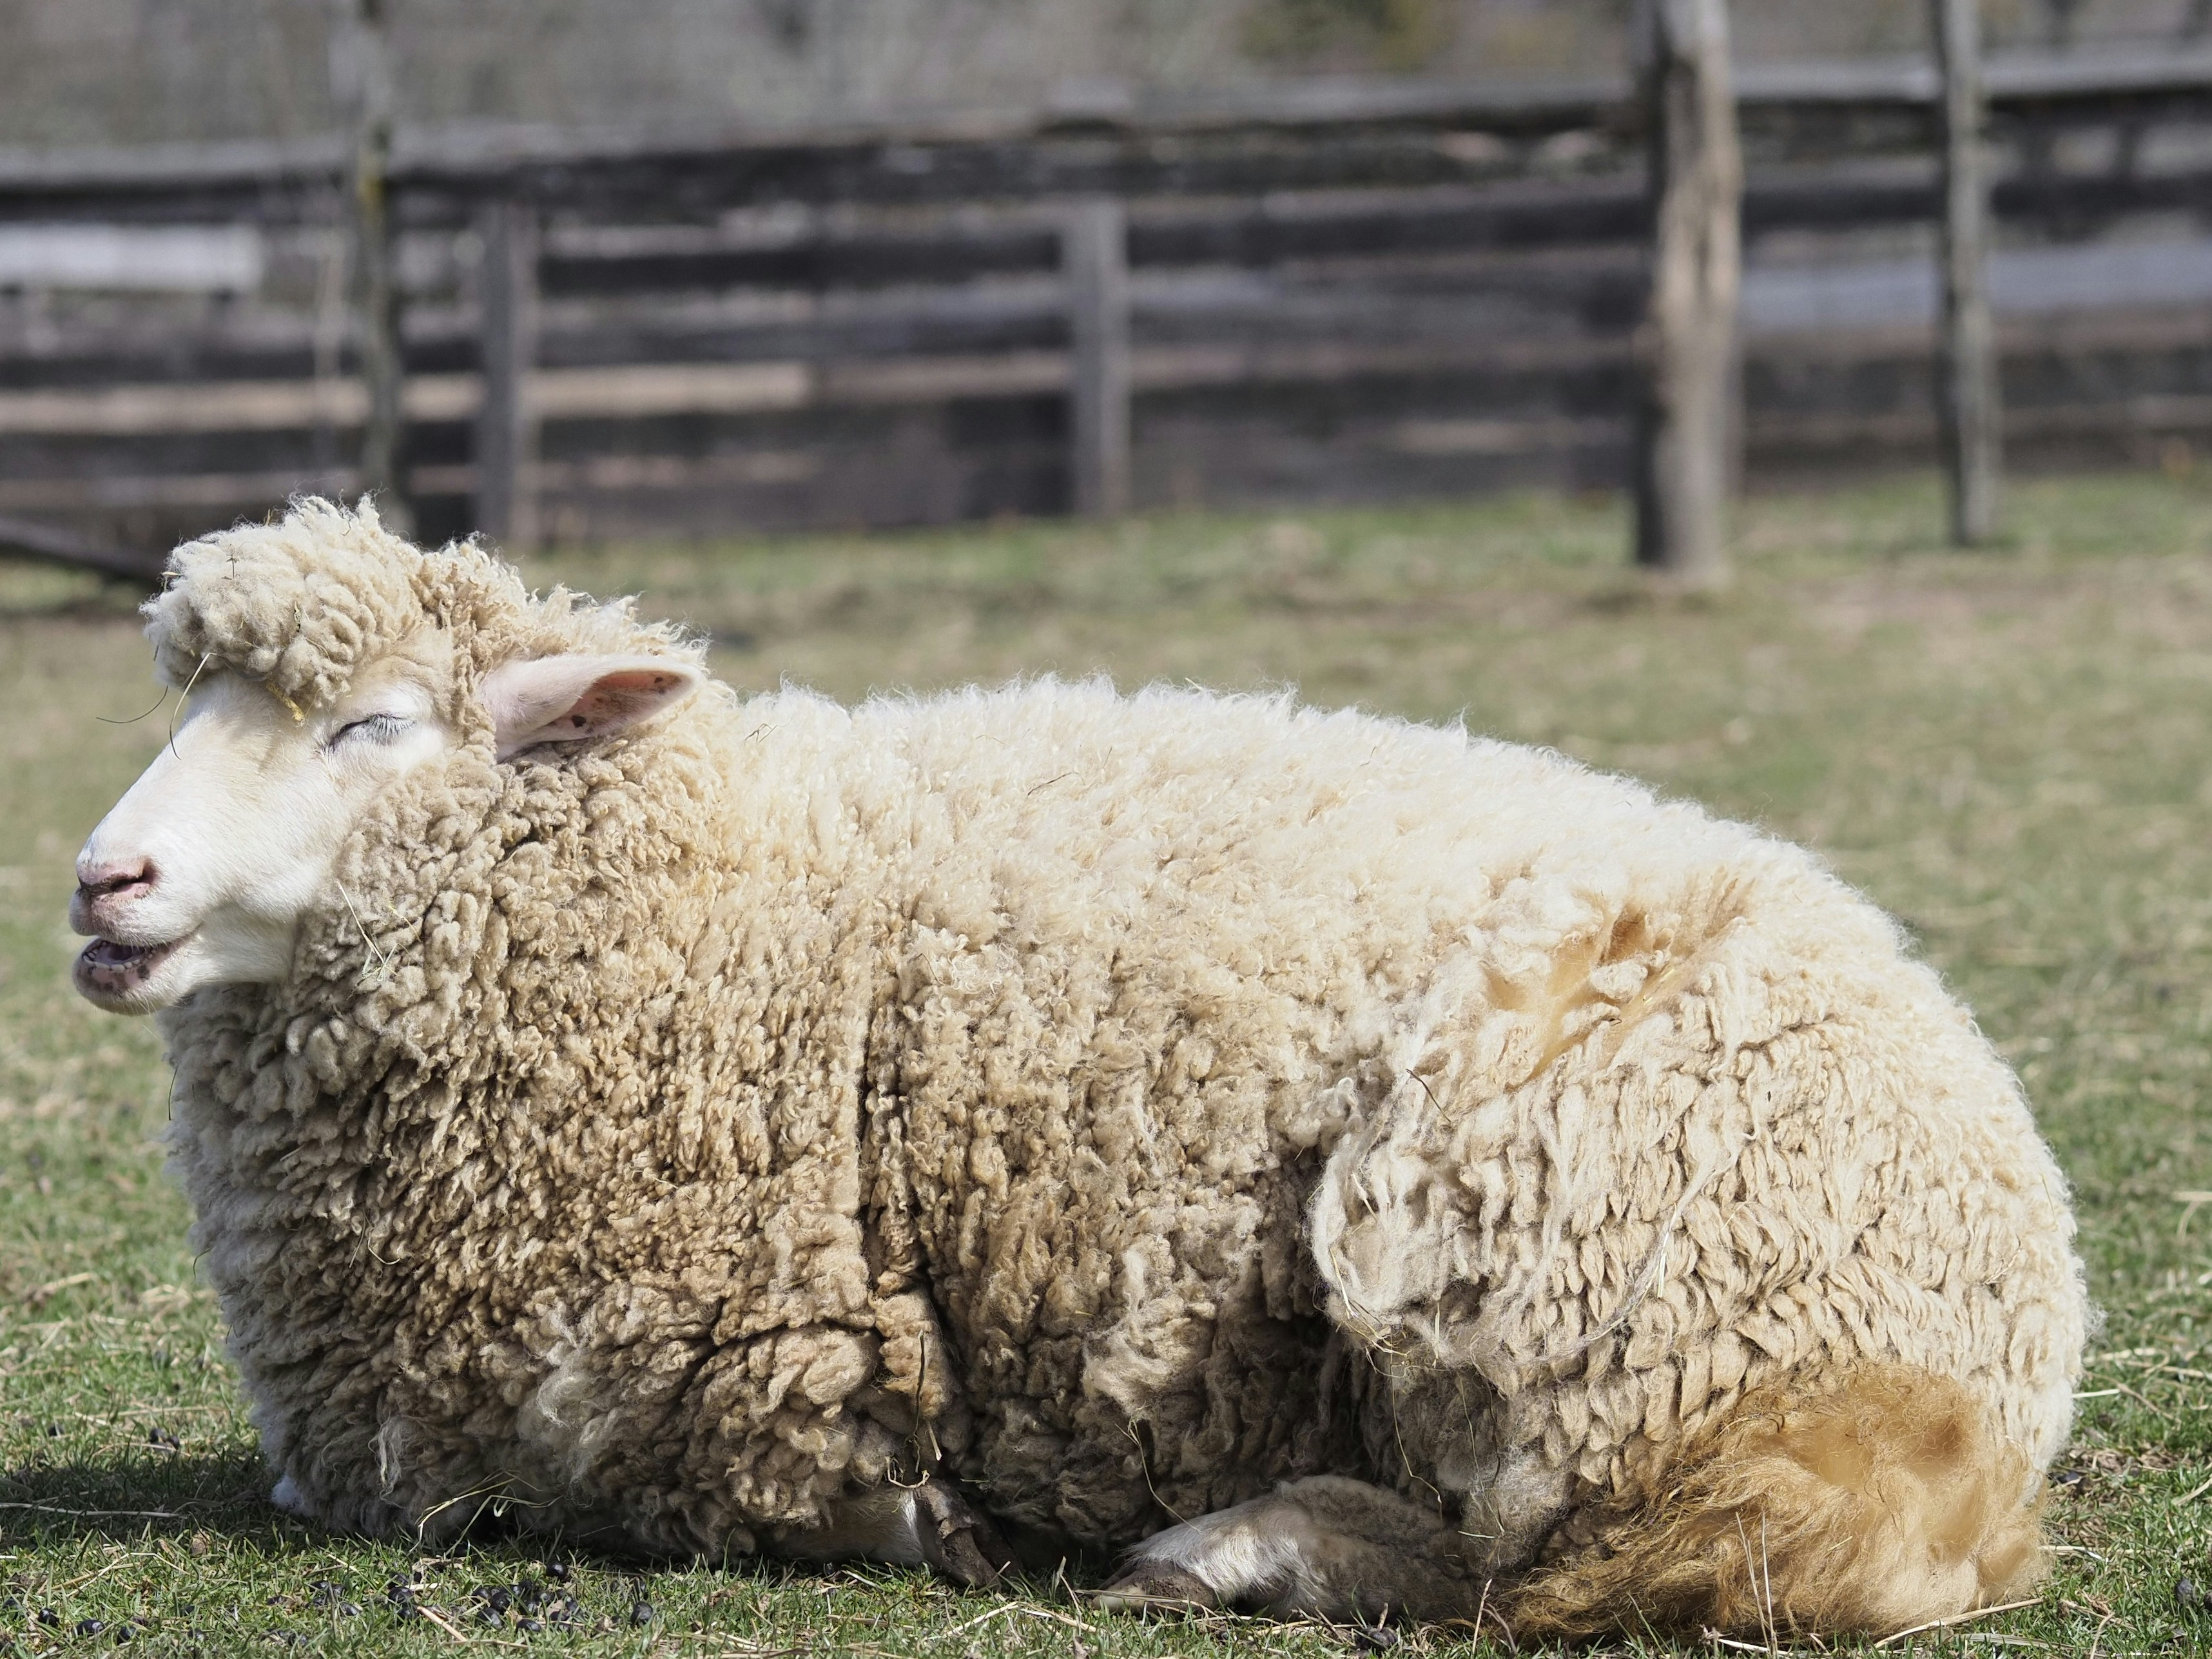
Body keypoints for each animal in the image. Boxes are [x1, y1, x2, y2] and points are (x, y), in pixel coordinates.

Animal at [67, 497, 2088, 1639]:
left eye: (369, 727)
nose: (103, 880)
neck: (718, 896)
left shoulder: (678, 1388)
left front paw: (921, 1511)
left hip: (1495, 1237)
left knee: (1521, 1558)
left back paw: (1230, 1550)